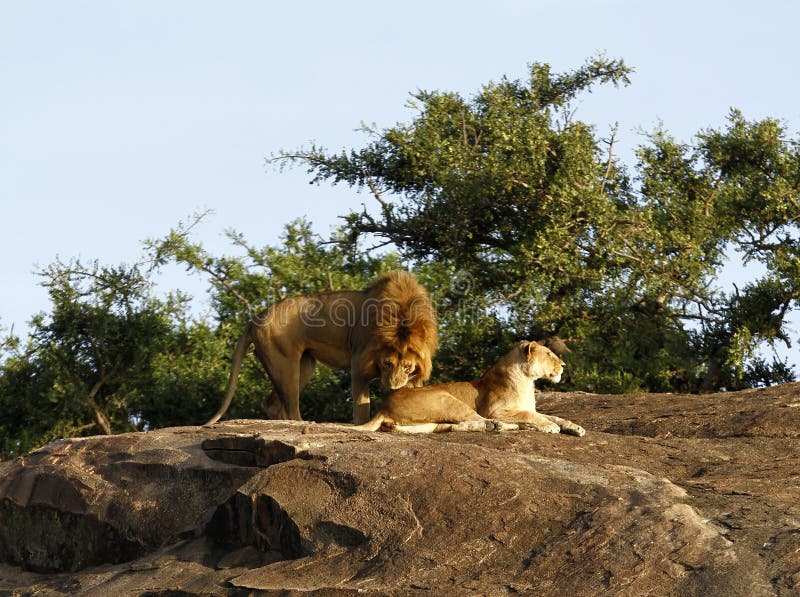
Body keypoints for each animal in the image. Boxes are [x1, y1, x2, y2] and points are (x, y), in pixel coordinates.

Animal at [205, 271, 438, 425]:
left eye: (407, 367)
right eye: (387, 363)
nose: (393, 385)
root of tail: (256, 317)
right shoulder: (358, 361)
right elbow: (362, 403)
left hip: (305, 365)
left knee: (273, 403)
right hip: (285, 364)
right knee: (290, 405)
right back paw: (302, 424)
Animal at [354, 340, 585, 436]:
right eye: (549, 354)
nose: (564, 365)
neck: (528, 381)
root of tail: (382, 408)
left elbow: (554, 416)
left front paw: (576, 427)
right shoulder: (495, 410)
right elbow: (532, 416)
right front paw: (549, 427)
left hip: (427, 425)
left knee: (454, 427)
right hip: (445, 400)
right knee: (478, 420)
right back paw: (502, 426)